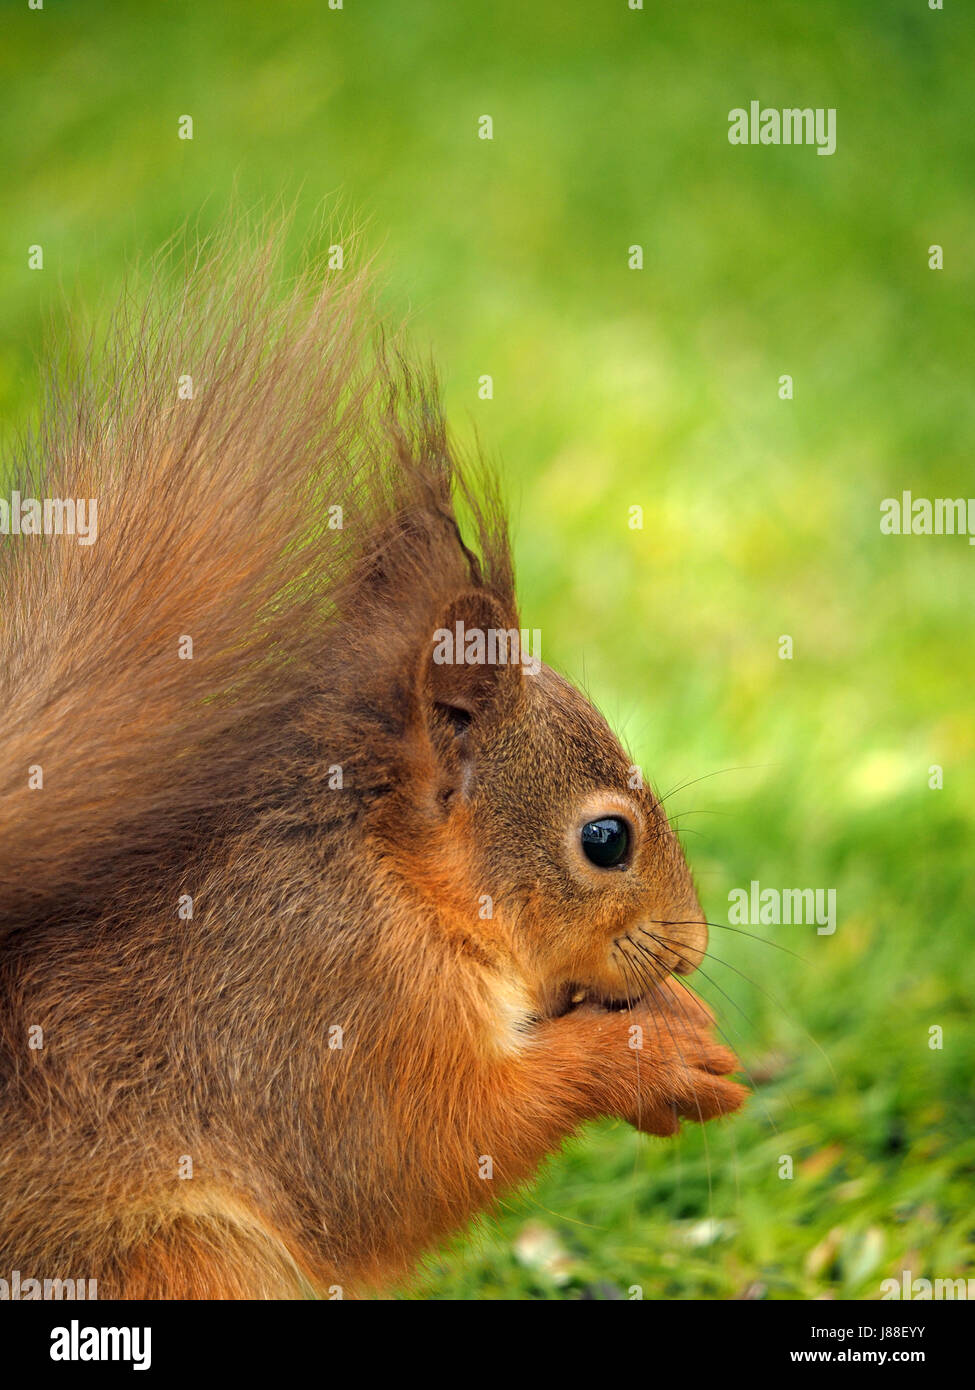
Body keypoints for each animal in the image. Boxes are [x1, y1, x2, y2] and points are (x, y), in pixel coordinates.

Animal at [0, 230, 746, 1300]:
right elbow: (414, 1155)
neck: (400, 886)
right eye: (606, 839)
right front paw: (652, 1052)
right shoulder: (327, 1011)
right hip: (175, 1256)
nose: (688, 948)